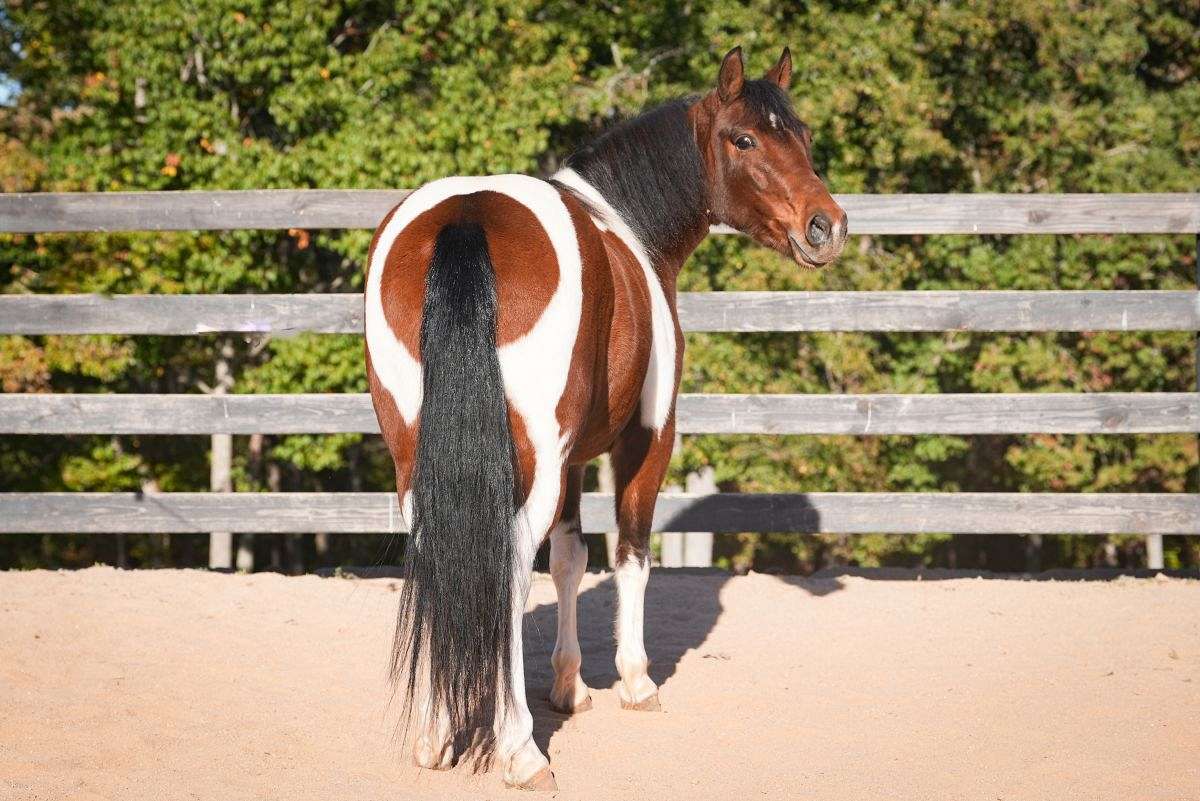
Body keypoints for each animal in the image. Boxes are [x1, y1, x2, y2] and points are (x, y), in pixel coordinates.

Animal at [363, 45, 847, 790]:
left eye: (803, 136)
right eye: (744, 139)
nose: (827, 227)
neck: (628, 229)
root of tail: (469, 214)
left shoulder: (571, 459)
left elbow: (569, 558)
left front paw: (569, 686)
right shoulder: (646, 440)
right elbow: (630, 553)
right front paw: (634, 681)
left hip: (416, 451)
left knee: (437, 553)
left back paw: (436, 734)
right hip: (536, 456)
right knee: (510, 560)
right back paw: (522, 751)